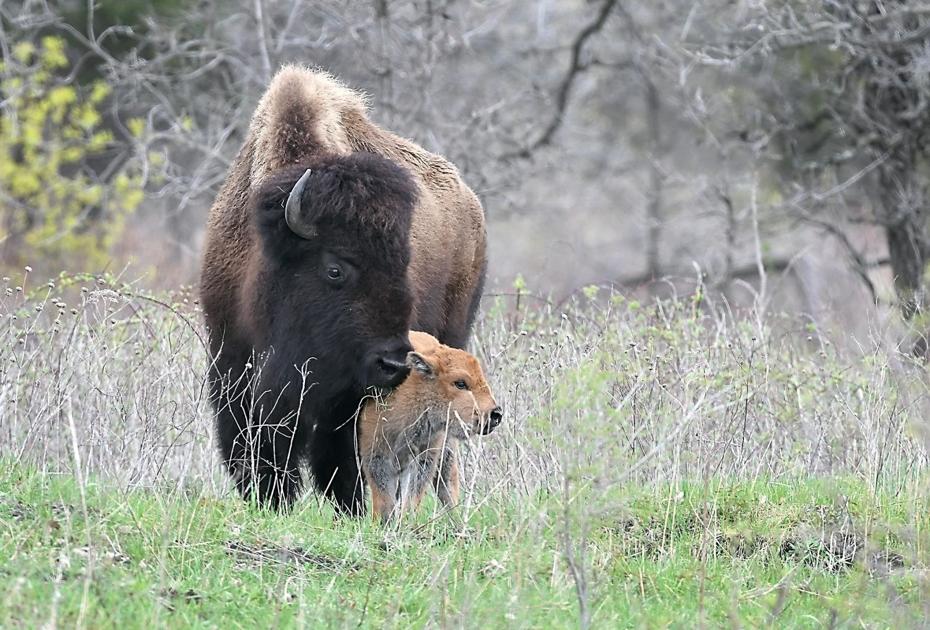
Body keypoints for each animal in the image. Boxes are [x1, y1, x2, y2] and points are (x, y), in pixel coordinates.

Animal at [200, 66, 488, 514]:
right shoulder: (232, 367)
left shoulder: (347, 398)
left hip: (453, 335)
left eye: (404, 265)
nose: (393, 362)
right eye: (334, 269)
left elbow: (341, 460)